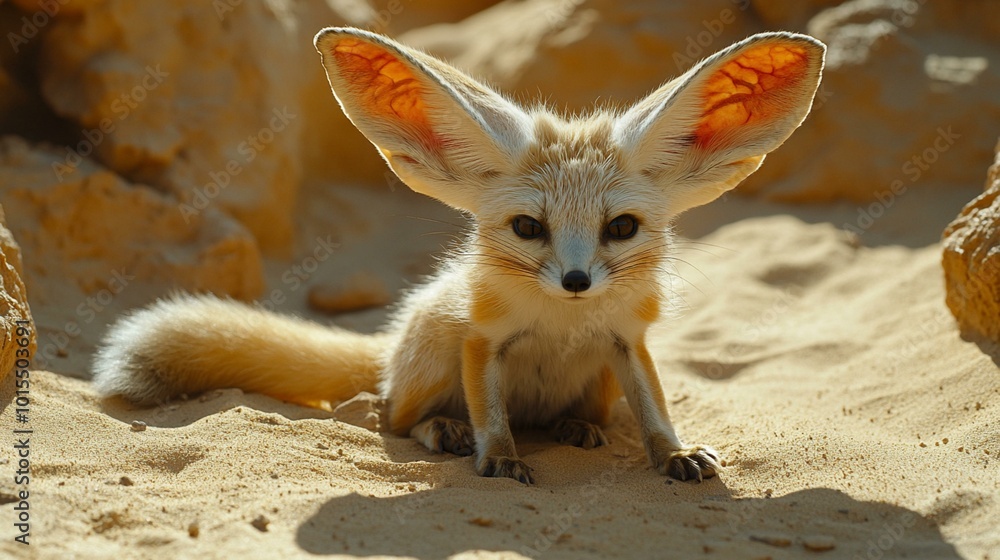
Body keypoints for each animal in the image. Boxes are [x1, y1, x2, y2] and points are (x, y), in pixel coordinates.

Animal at [93, 27, 825, 484]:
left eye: (621, 227)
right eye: (529, 227)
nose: (577, 280)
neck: (563, 322)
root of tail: (391, 348)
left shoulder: (626, 340)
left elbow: (655, 414)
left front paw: (674, 455)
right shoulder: (482, 341)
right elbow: (491, 416)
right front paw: (496, 458)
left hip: (596, 381)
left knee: (573, 414)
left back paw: (571, 427)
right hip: (433, 352)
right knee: (390, 413)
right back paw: (442, 429)